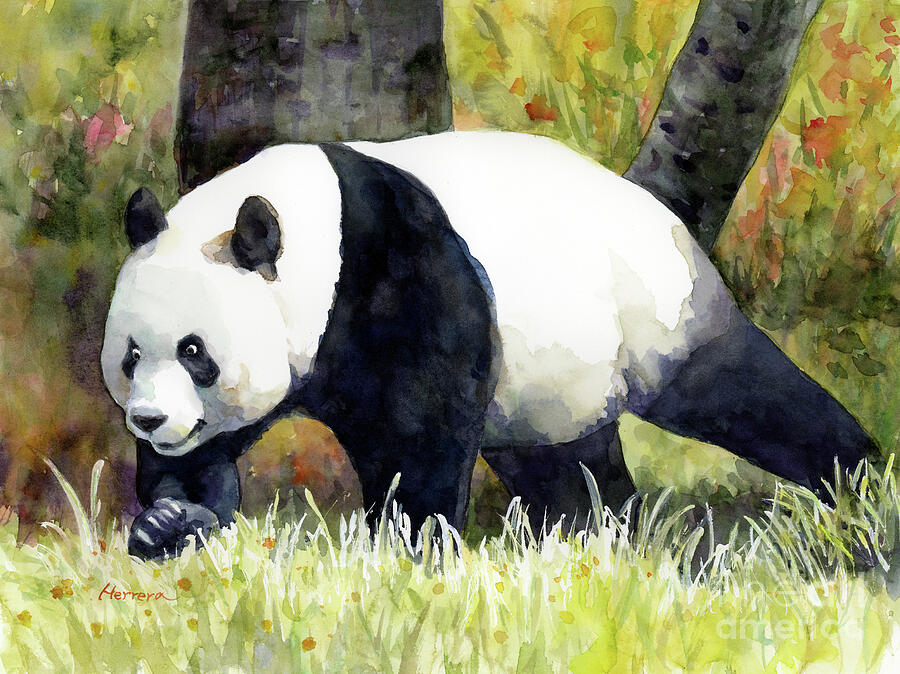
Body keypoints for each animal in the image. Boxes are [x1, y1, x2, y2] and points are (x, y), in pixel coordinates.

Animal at [101, 131, 876, 558]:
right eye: (131, 356)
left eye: (196, 352)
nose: (148, 419)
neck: (315, 228)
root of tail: (664, 216)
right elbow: (202, 462)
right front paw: (168, 523)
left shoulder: (400, 269)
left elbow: (423, 425)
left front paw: (406, 544)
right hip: (555, 380)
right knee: (565, 465)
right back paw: (600, 534)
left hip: (657, 313)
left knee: (745, 392)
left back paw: (861, 488)